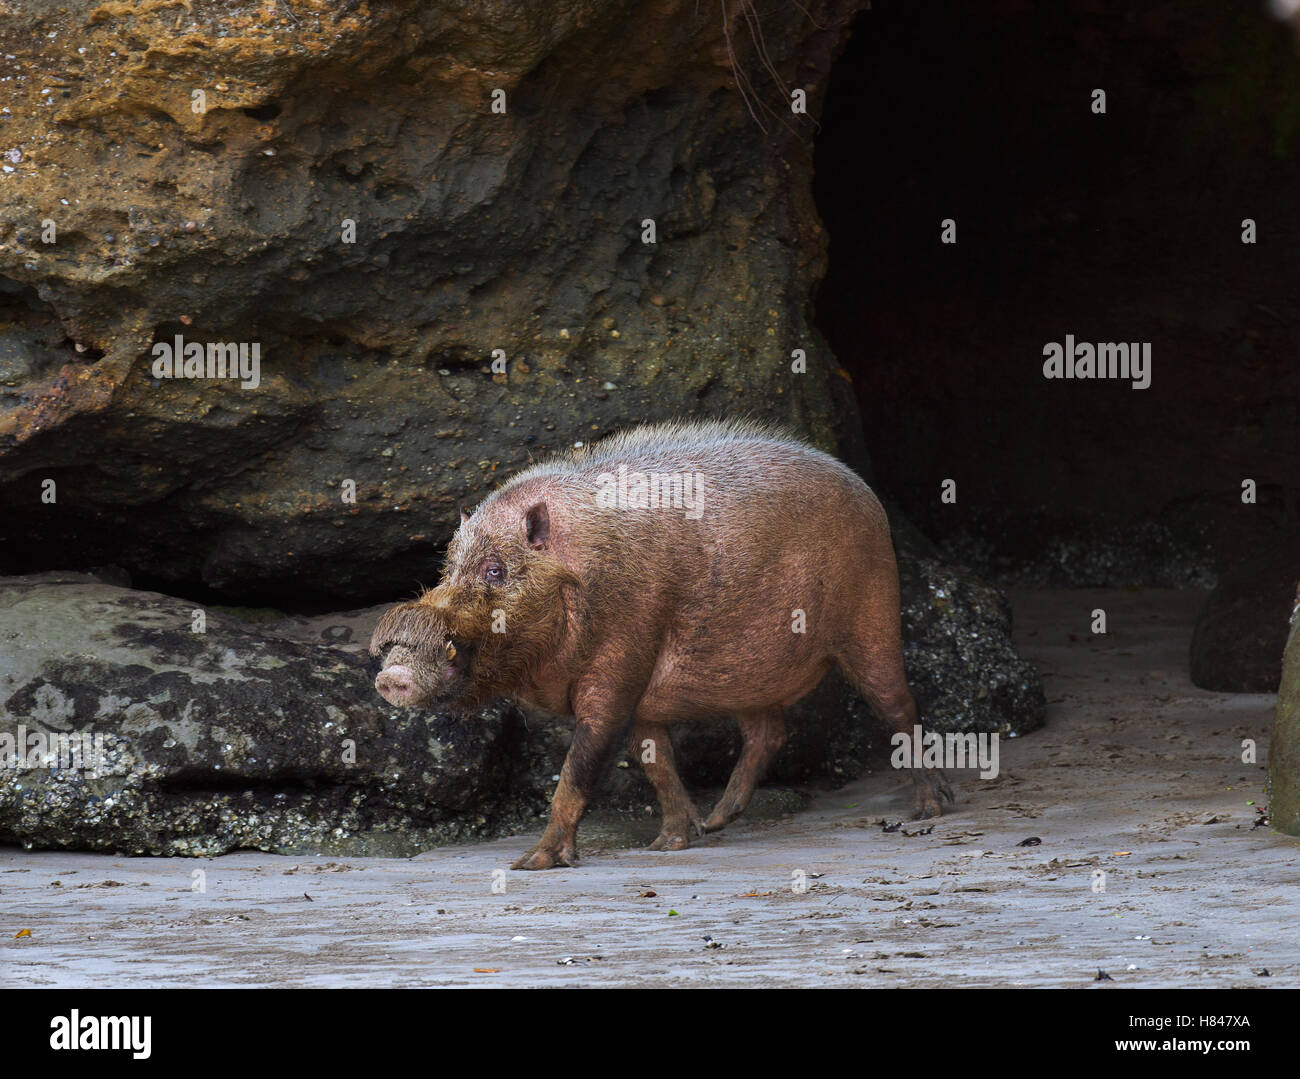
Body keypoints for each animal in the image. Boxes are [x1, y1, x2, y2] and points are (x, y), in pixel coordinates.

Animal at [370, 419, 952, 870]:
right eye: (448, 568)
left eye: (495, 570)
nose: (390, 675)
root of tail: (867, 491)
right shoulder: (640, 691)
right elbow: (654, 759)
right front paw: (668, 844)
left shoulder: (622, 658)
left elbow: (580, 766)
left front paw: (530, 863)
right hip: (753, 675)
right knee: (769, 731)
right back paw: (717, 823)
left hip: (872, 618)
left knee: (900, 707)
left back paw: (929, 809)